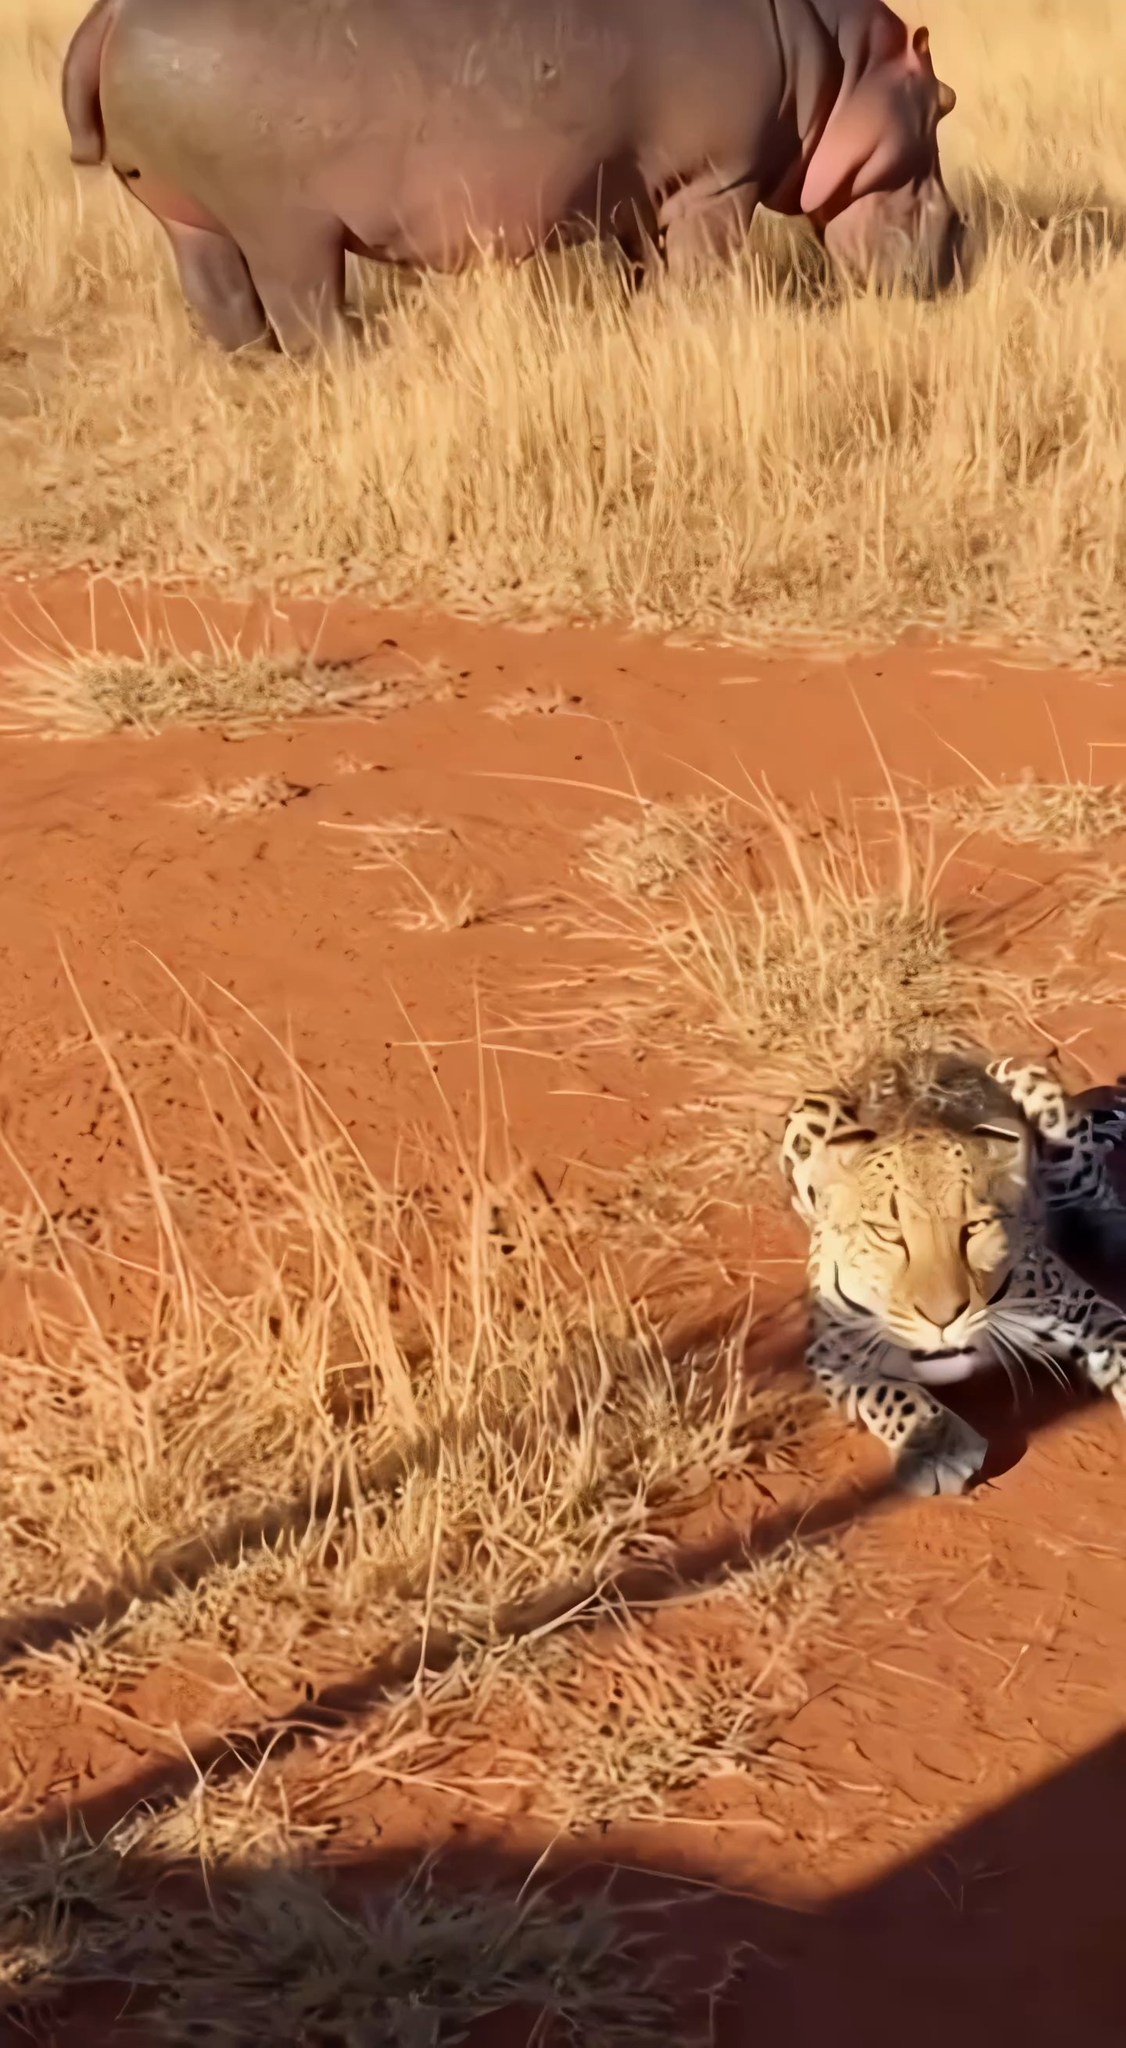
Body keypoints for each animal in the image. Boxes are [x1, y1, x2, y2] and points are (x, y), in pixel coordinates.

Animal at [779, 1049, 1126, 1498]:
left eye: (973, 1227)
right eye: (889, 1234)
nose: (944, 1319)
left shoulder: (1080, 1308)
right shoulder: (832, 1351)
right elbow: (886, 1392)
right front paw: (936, 1446)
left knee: (1095, 1193)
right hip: (811, 1110)